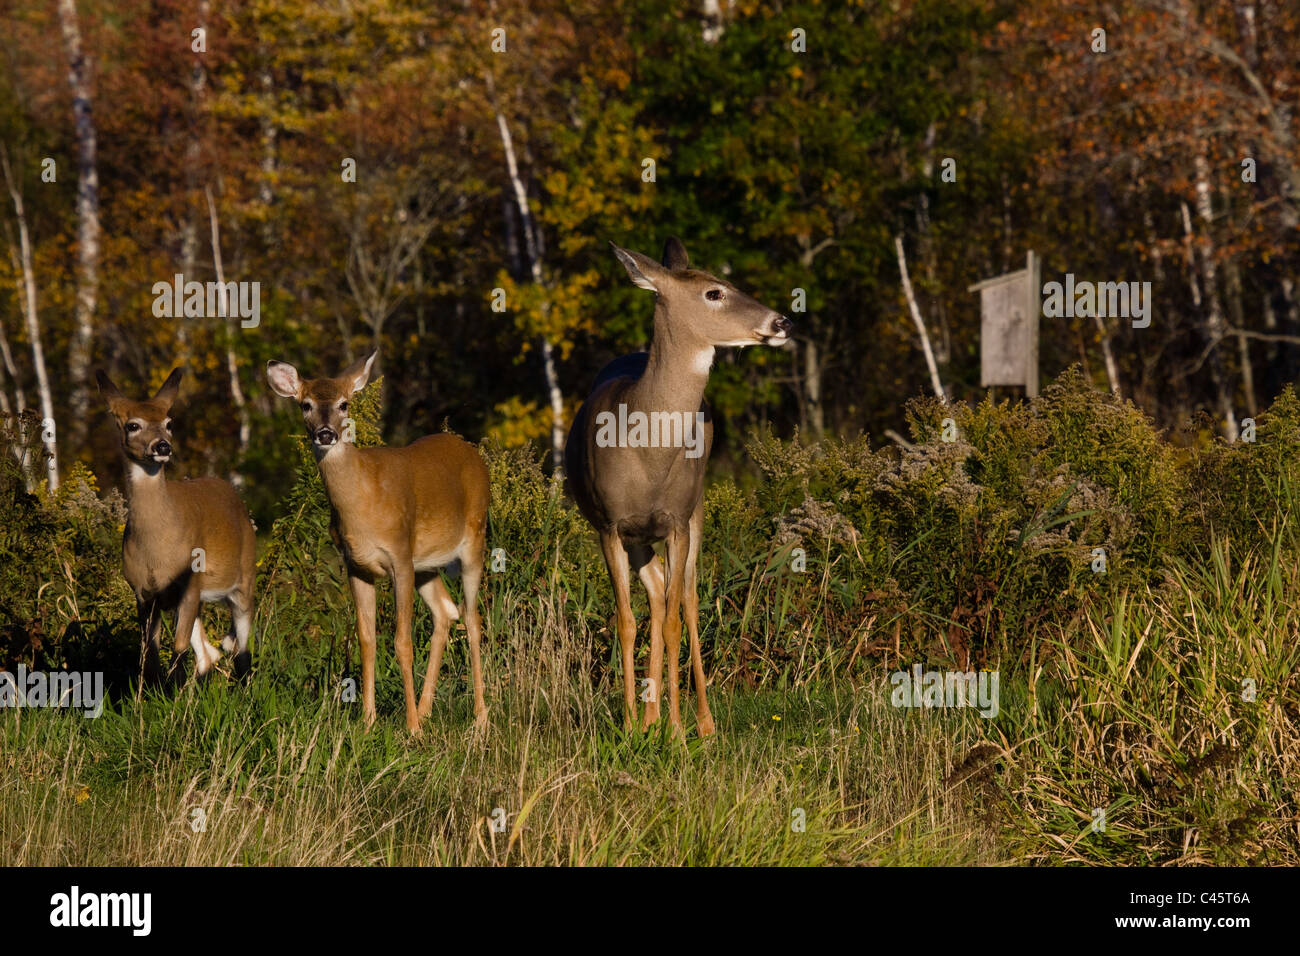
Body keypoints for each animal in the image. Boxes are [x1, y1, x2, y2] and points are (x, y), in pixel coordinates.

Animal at [95, 368, 256, 685]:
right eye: (133, 425)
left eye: (169, 423)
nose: (162, 446)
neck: (156, 551)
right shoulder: (143, 592)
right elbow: (150, 652)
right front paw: (150, 692)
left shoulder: (190, 582)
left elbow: (178, 649)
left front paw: (170, 692)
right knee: (209, 654)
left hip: (243, 580)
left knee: (241, 650)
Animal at [265, 351, 491, 735]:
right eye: (305, 405)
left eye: (343, 403)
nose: (326, 434)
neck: (363, 502)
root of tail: (472, 453)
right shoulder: (357, 566)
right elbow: (366, 639)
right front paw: (368, 721)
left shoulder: (399, 555)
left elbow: (401, 642)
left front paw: (411, 728)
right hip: (427, 564)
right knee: (446, 612)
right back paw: (428, 710)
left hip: (473, 541)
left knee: (472, 619)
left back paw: (479, 717)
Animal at [565, 237, 792, 738]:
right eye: (714, 292)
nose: (782, 321)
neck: (647, 449)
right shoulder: (609, 525)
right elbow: (626, 620)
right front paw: (632, 724)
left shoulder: (676, 521)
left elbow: (674, 620)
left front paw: (676, 732)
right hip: (637, 537)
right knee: (655, 593)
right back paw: (648, 716)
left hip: (696, 510)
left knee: (685, 600)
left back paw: (701, 723)